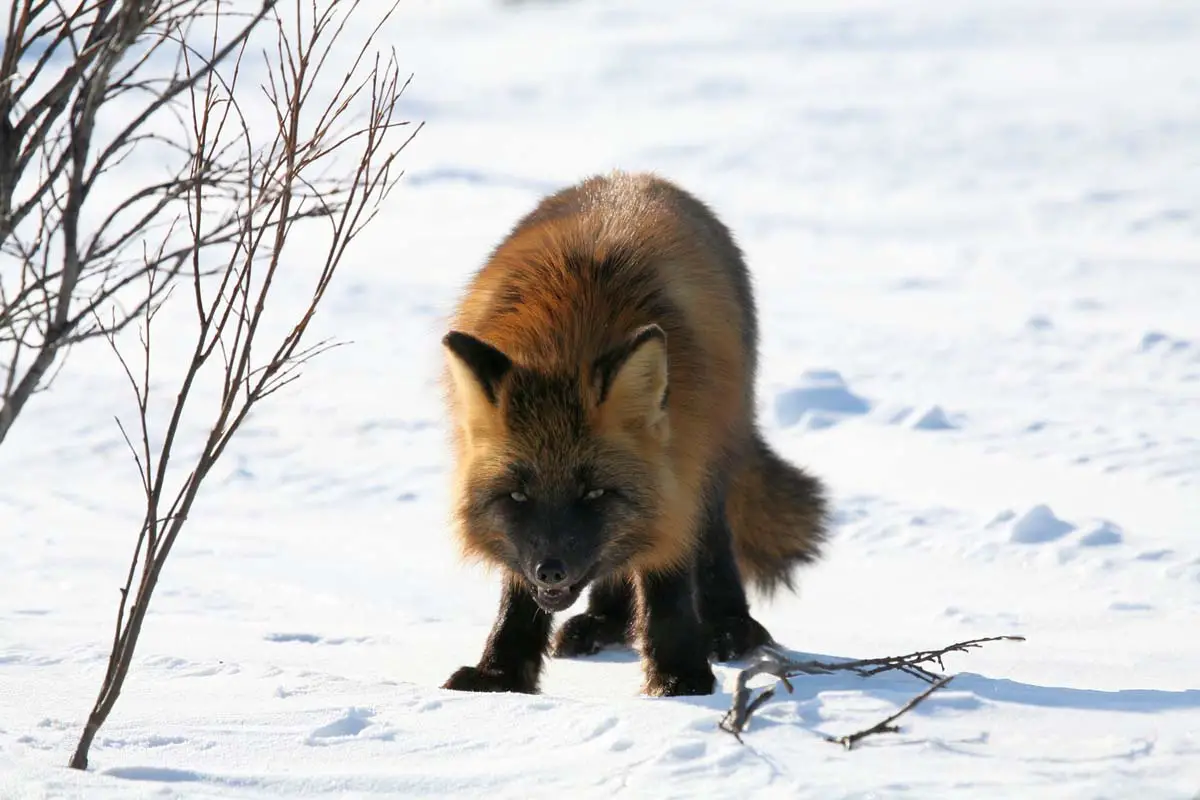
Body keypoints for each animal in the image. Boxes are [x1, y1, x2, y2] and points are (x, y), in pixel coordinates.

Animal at [439, 170, 829, 697]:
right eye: (518, 496)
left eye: (595, 493)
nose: (552, 569)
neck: (570, 335)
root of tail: (641, 177)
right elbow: (517, 591)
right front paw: (500, 675)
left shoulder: (683, 461)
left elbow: (668, 574)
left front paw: (679, 678)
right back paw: (605, 621)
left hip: (713, 458)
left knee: (708, 548)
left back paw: (728, 628)